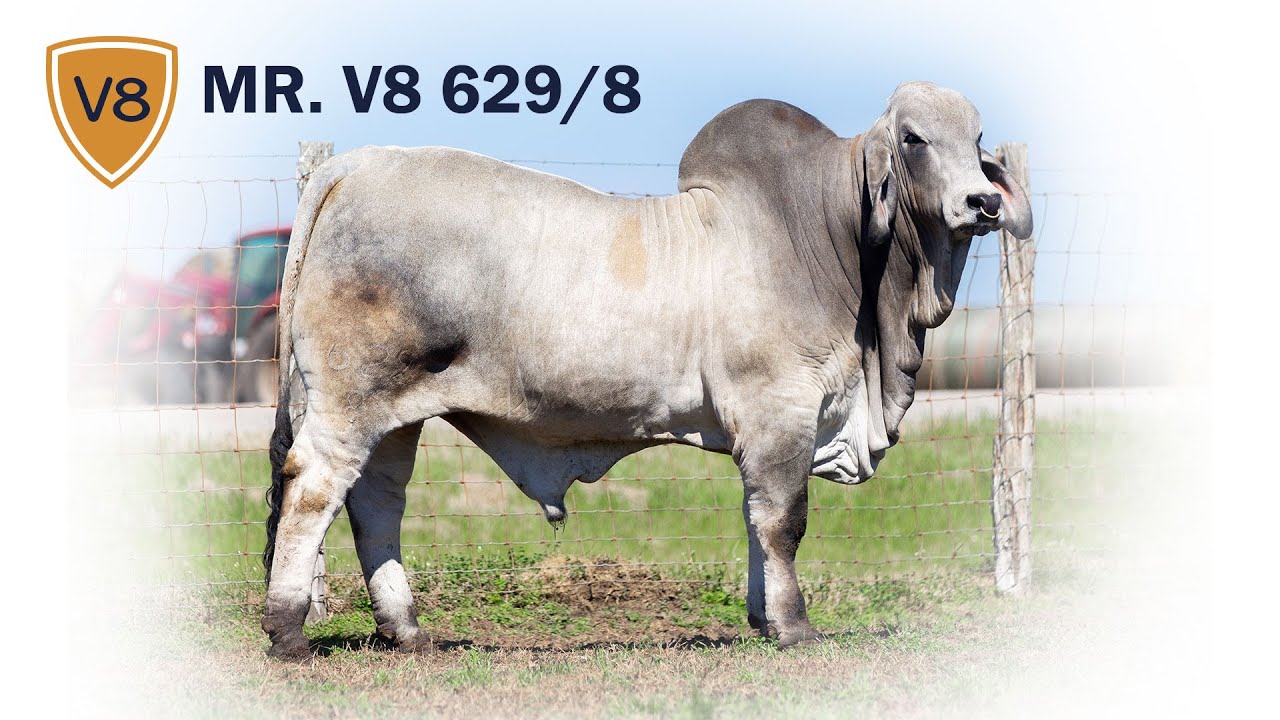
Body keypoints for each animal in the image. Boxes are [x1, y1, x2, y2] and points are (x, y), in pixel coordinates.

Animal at [260, 81, 1033, 658]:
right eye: (914, 139)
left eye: (977, 140)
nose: (983, 202)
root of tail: (352, 167)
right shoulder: (781, 410)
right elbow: (783, 521)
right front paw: (794, 626)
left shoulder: (762, 430)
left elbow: (754, 518)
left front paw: (762, 619)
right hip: (349, 399)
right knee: (313, 490)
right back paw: (288, 630)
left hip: (397, 415)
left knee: (377, 502)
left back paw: (407, 629)